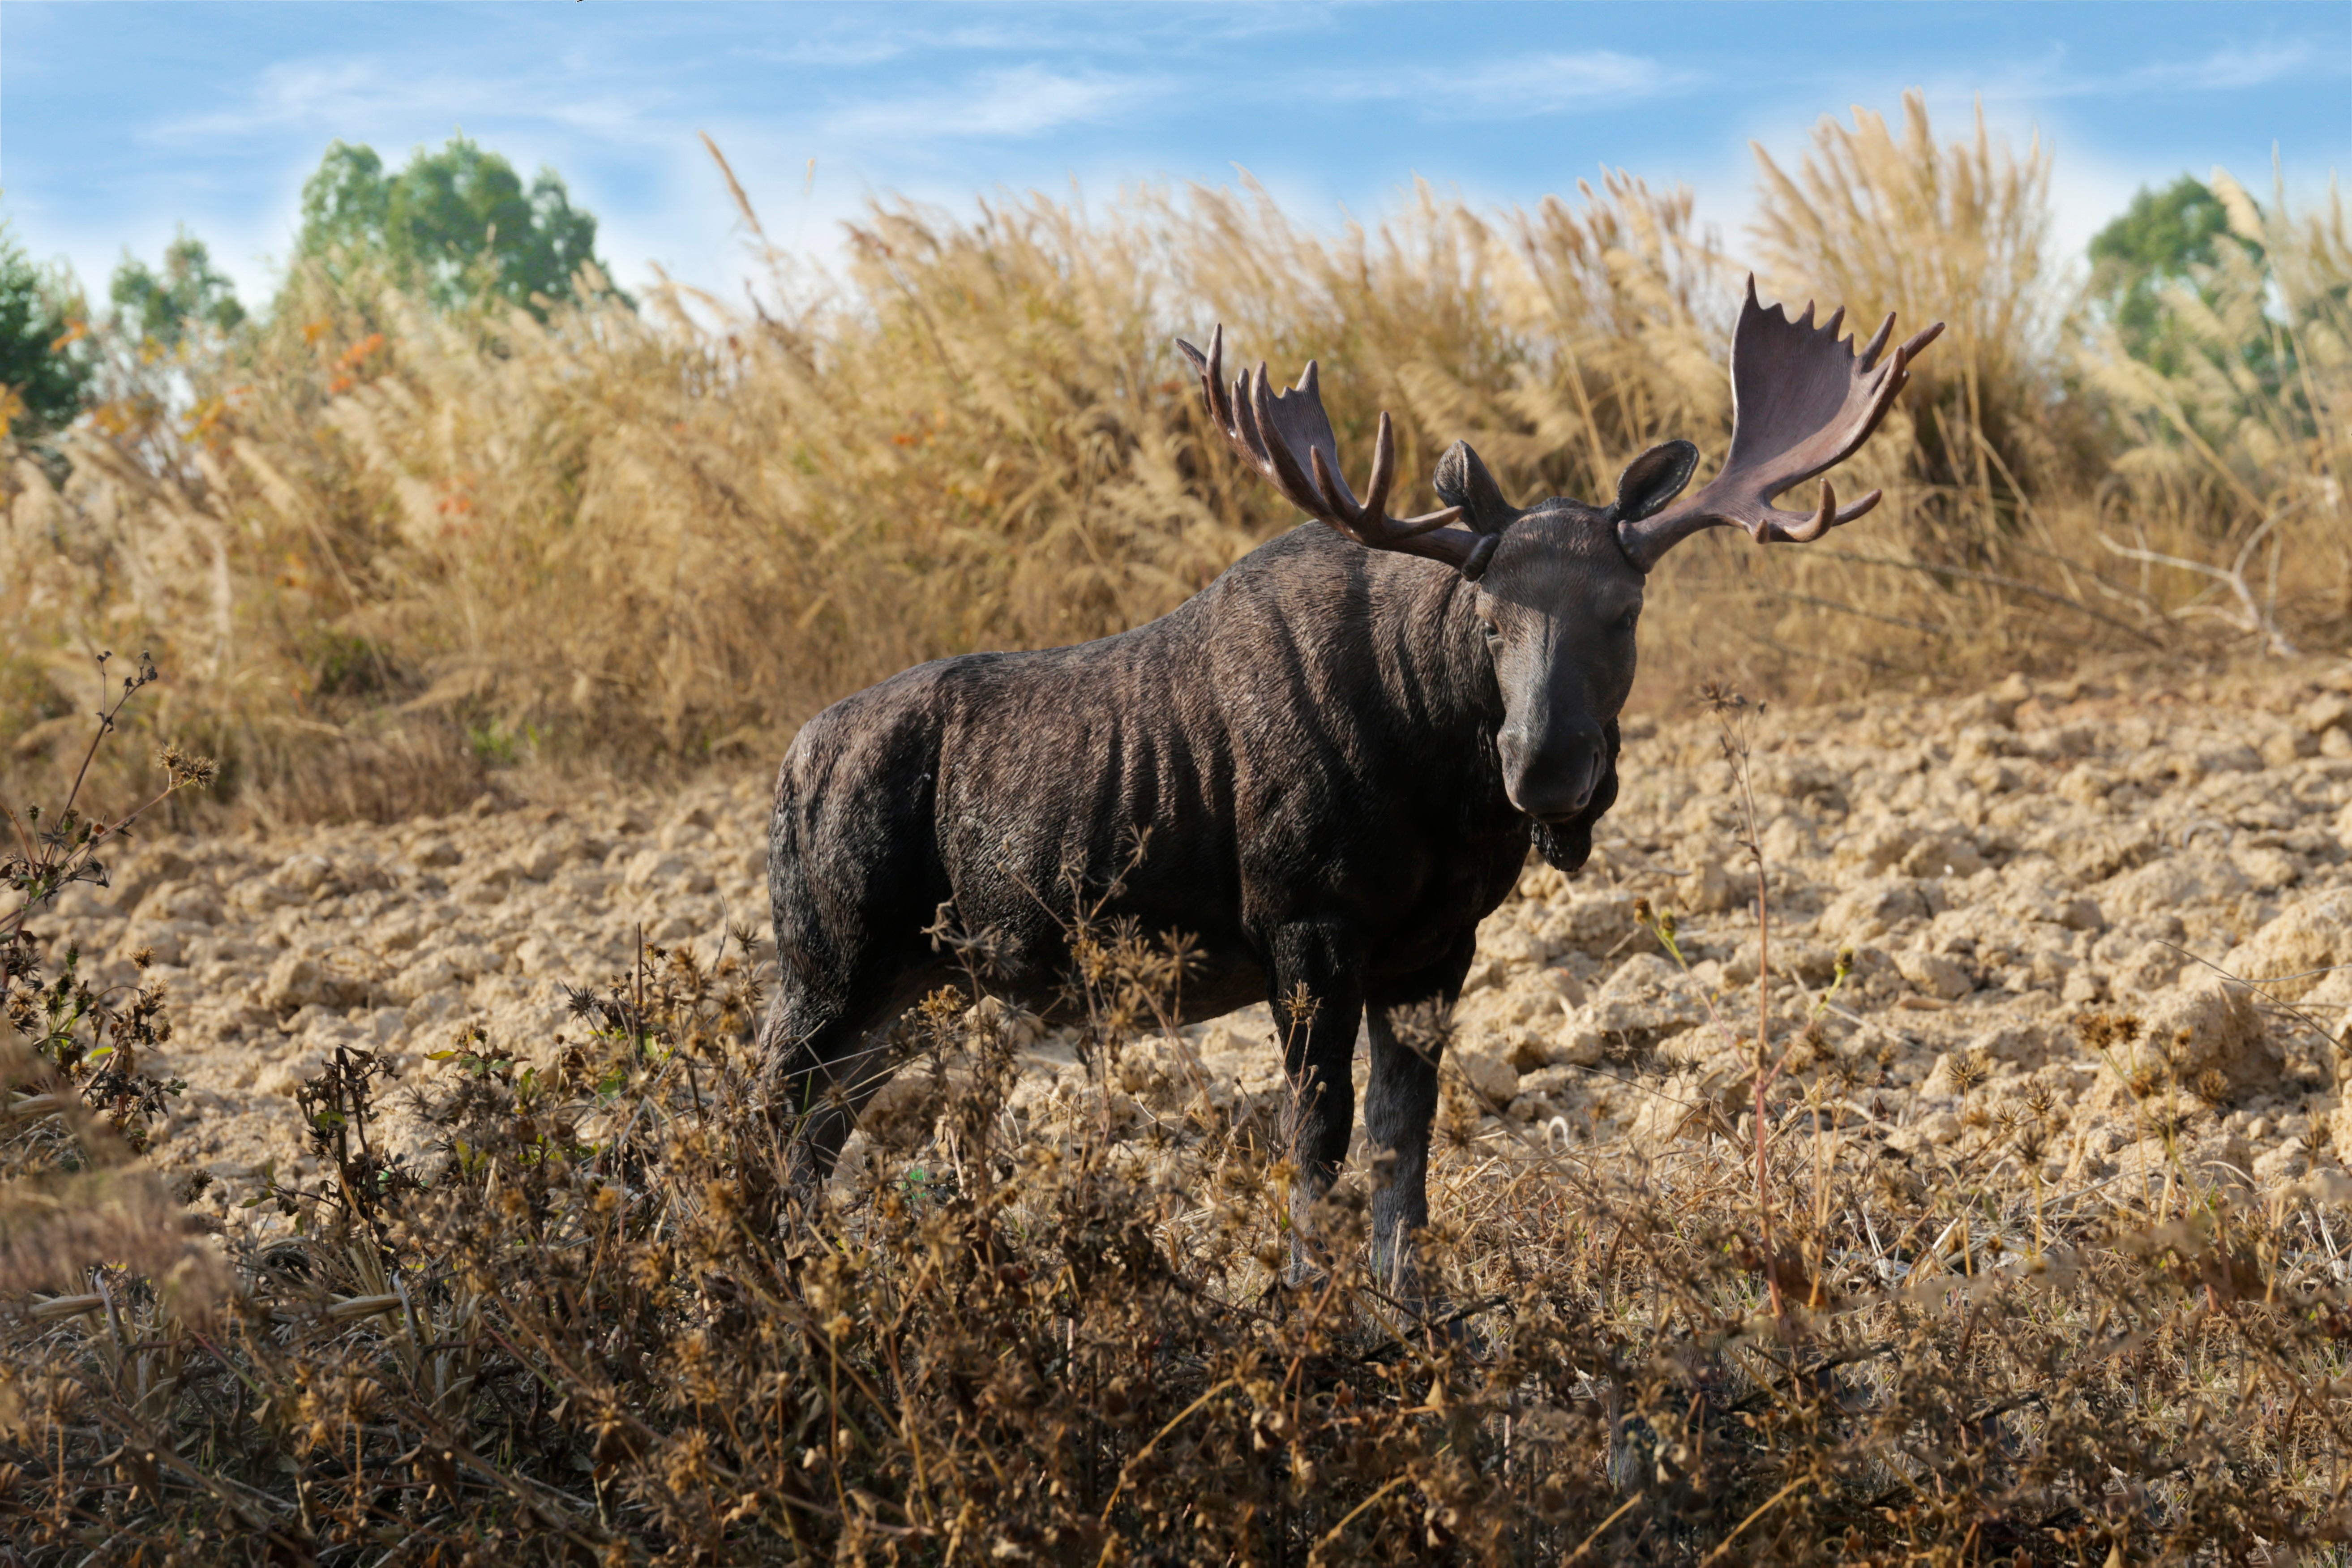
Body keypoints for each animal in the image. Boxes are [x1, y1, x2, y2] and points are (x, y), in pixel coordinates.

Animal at [756, 277, 1940, 1284]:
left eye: (1626, 608)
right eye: (1487, 615)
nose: (1548, 772)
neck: (1443, 792)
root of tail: (787, 764)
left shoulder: (1436, 943)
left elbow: (1400, 1144)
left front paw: (1406, 1303)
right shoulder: (1305, 926)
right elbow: (1315, 1139)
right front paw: (1307, 1303)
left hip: (910, 987)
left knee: (814, 1135)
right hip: (830, 962)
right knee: (767, 1114)